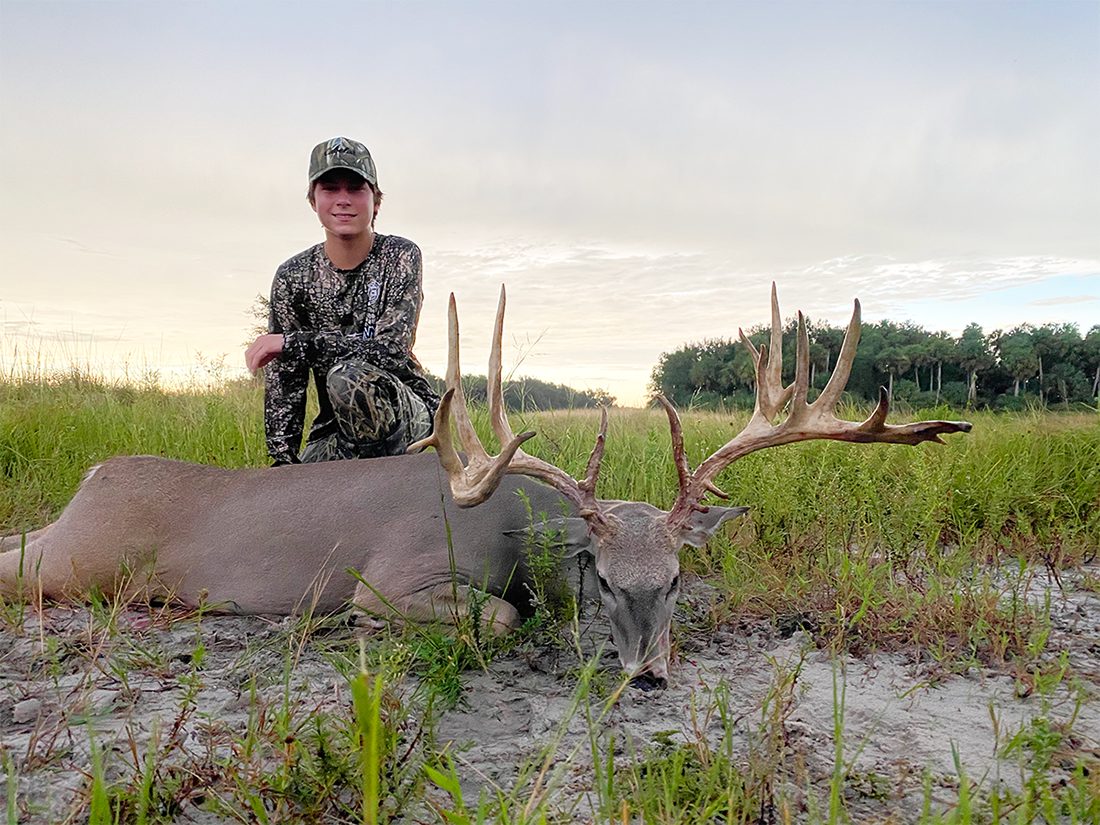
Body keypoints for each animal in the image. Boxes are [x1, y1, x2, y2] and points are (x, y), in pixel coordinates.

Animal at [0, 285, 971, 689]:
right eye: (601, 576)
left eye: (677, 578)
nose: (647, 671)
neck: (518, 528)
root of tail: (94, 474)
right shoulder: (389, 577)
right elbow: (499, 617)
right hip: (81, 561)